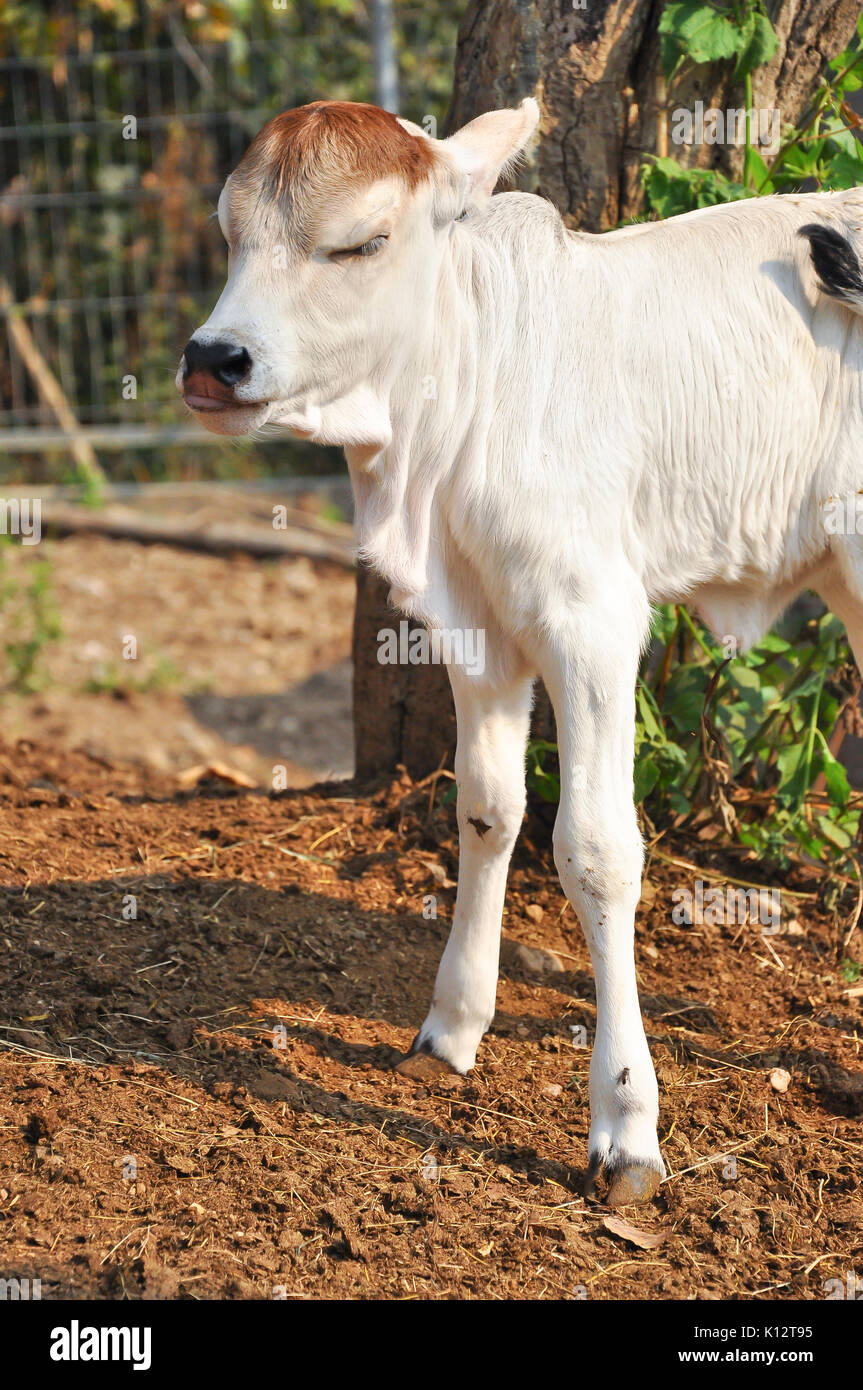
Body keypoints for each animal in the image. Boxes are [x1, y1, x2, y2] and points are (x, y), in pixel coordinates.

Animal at [178, 98, 863, 1205]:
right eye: (230, 234)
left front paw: (625, 1125)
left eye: (360, 242)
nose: (213, 358)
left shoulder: (591, 622)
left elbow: (593, 851)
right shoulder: (476, 629)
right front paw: (450, 1028)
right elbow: (486, 809)